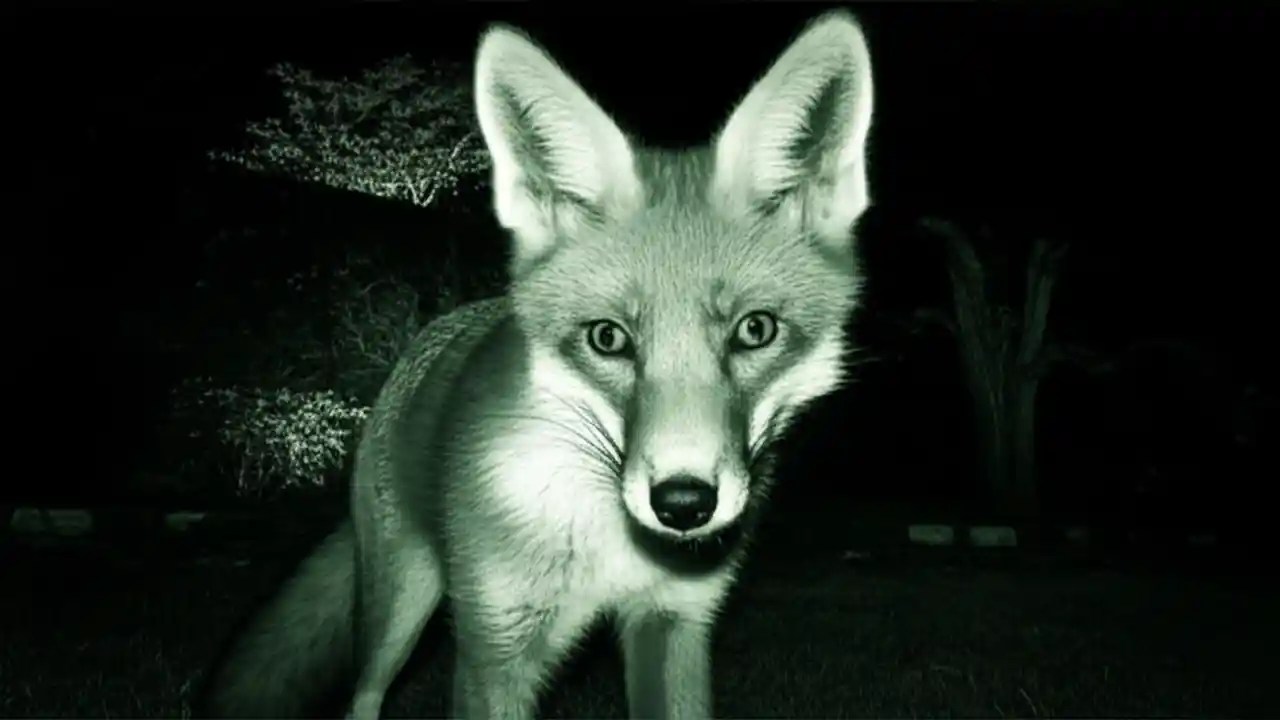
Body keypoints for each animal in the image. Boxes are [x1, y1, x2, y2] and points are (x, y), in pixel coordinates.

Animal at [200, 9, 875, 720]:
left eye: (755, 330)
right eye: (607, 338)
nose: (683, 504)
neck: (609, 541)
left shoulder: (675, 625)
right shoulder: (493, 651)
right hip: (399, 604)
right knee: (365, 694)